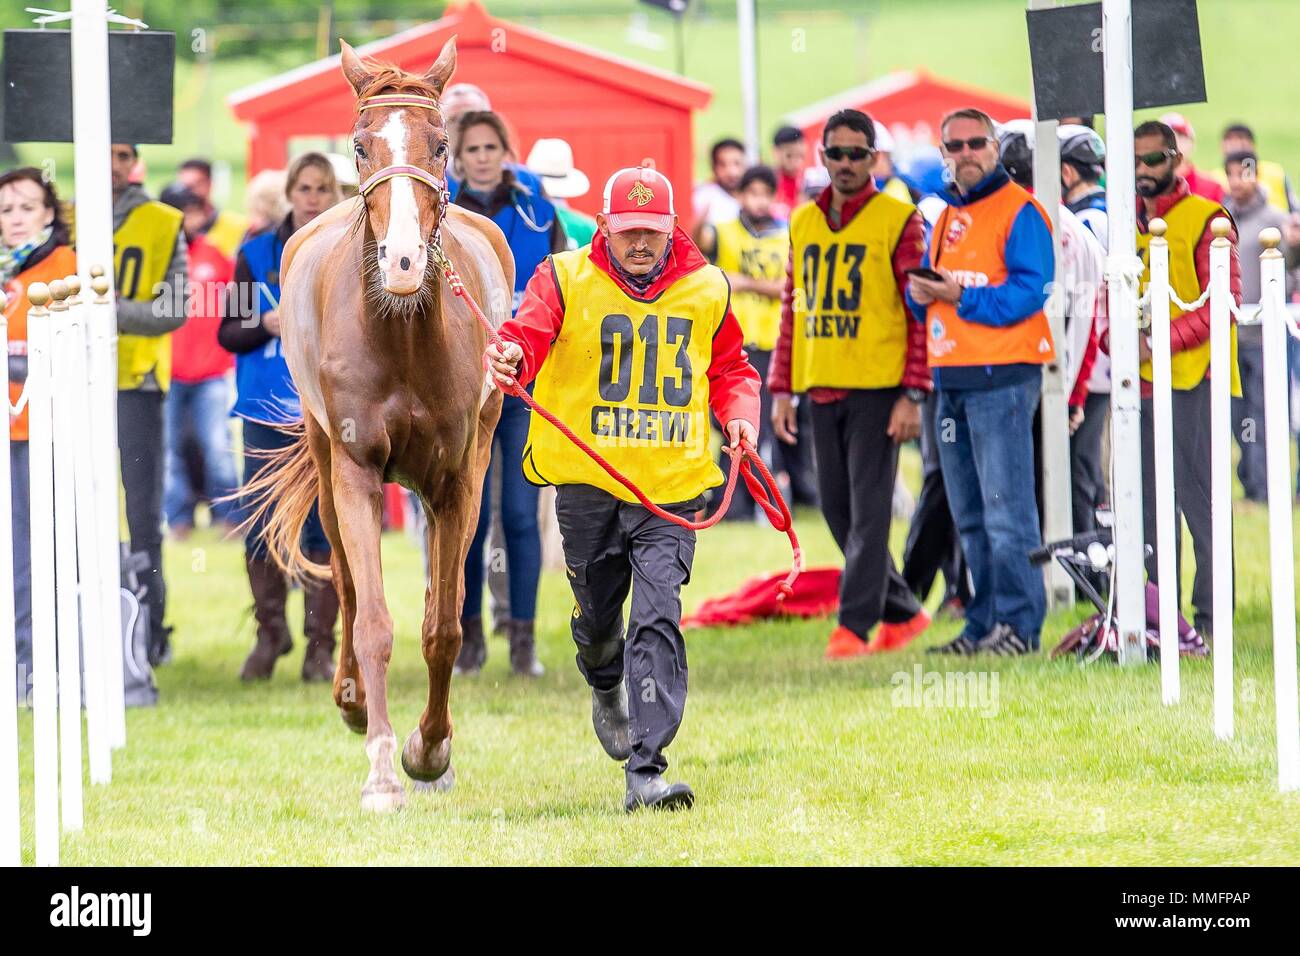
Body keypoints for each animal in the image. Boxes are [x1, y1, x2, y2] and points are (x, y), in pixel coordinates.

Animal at [245, 36, 513, 812]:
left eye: (441, 144)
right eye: (360, 147)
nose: (402, 260)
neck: (399, 335)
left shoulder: (457, 480)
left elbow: (444, 625)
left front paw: (430, 749)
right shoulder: (358, 471)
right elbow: (371, 622)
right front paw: (385, 768)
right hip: (324, 458)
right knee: (342, 573)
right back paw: (351, 697)